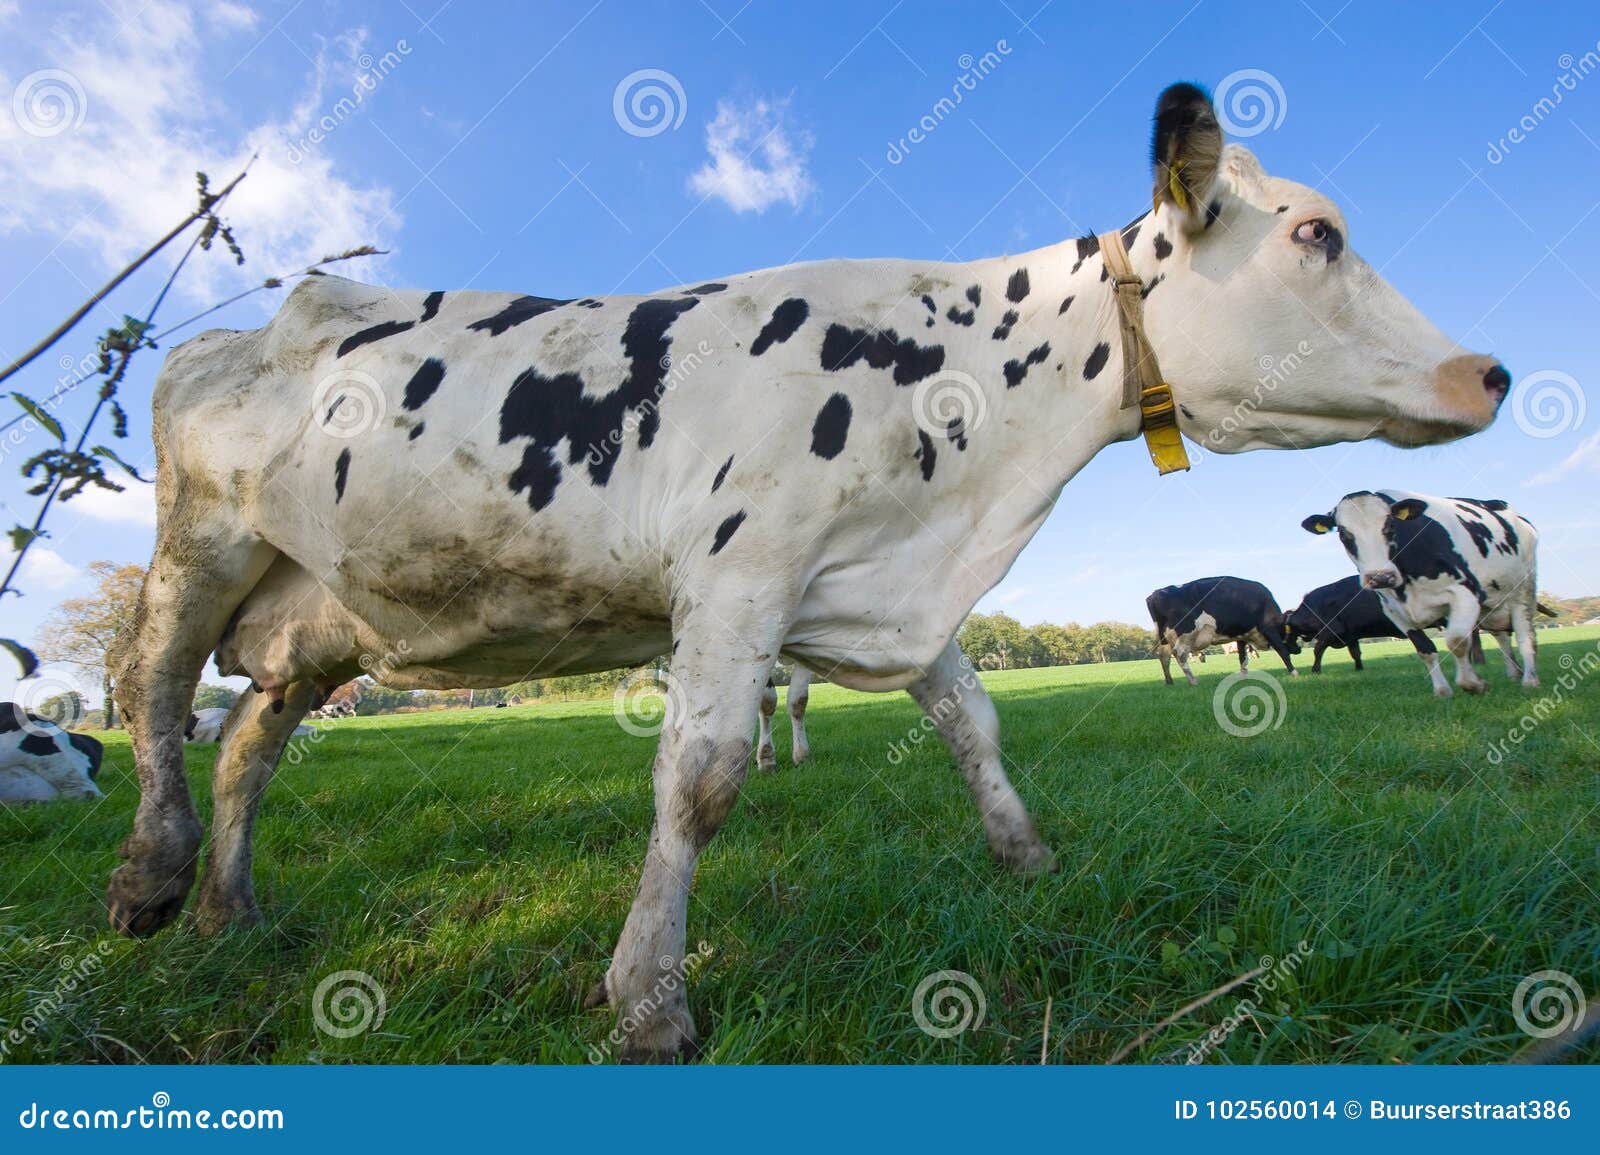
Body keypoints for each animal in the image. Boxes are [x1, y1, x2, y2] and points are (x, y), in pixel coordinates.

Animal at [1146, 577, 1300, 685]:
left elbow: (1243, 658)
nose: (1298, 650)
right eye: (1294, 632)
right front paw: (1294, 673)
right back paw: (1193, 681)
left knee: (1164, 656)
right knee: (1180, 654)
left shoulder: (1242, 636)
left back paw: (1170, 682)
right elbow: (1282, 651)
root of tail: (1156, 593)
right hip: (1186, 633)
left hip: (1166, 637)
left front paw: (1243, 676)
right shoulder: (1269, 628)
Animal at [1301, 492, 1539, 696]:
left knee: (1524, 633)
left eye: (1390, 525)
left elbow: (1457, 641)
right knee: (1502, 637)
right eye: (1343, 533)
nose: (1381, 577)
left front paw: (1473, 684)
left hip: (1523, 589)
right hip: (1492, 604)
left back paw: (1529, 679)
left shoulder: (1465, 593)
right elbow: (1425, 650)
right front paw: (1442, 691)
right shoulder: (1394, 611)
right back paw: (1514, 673)